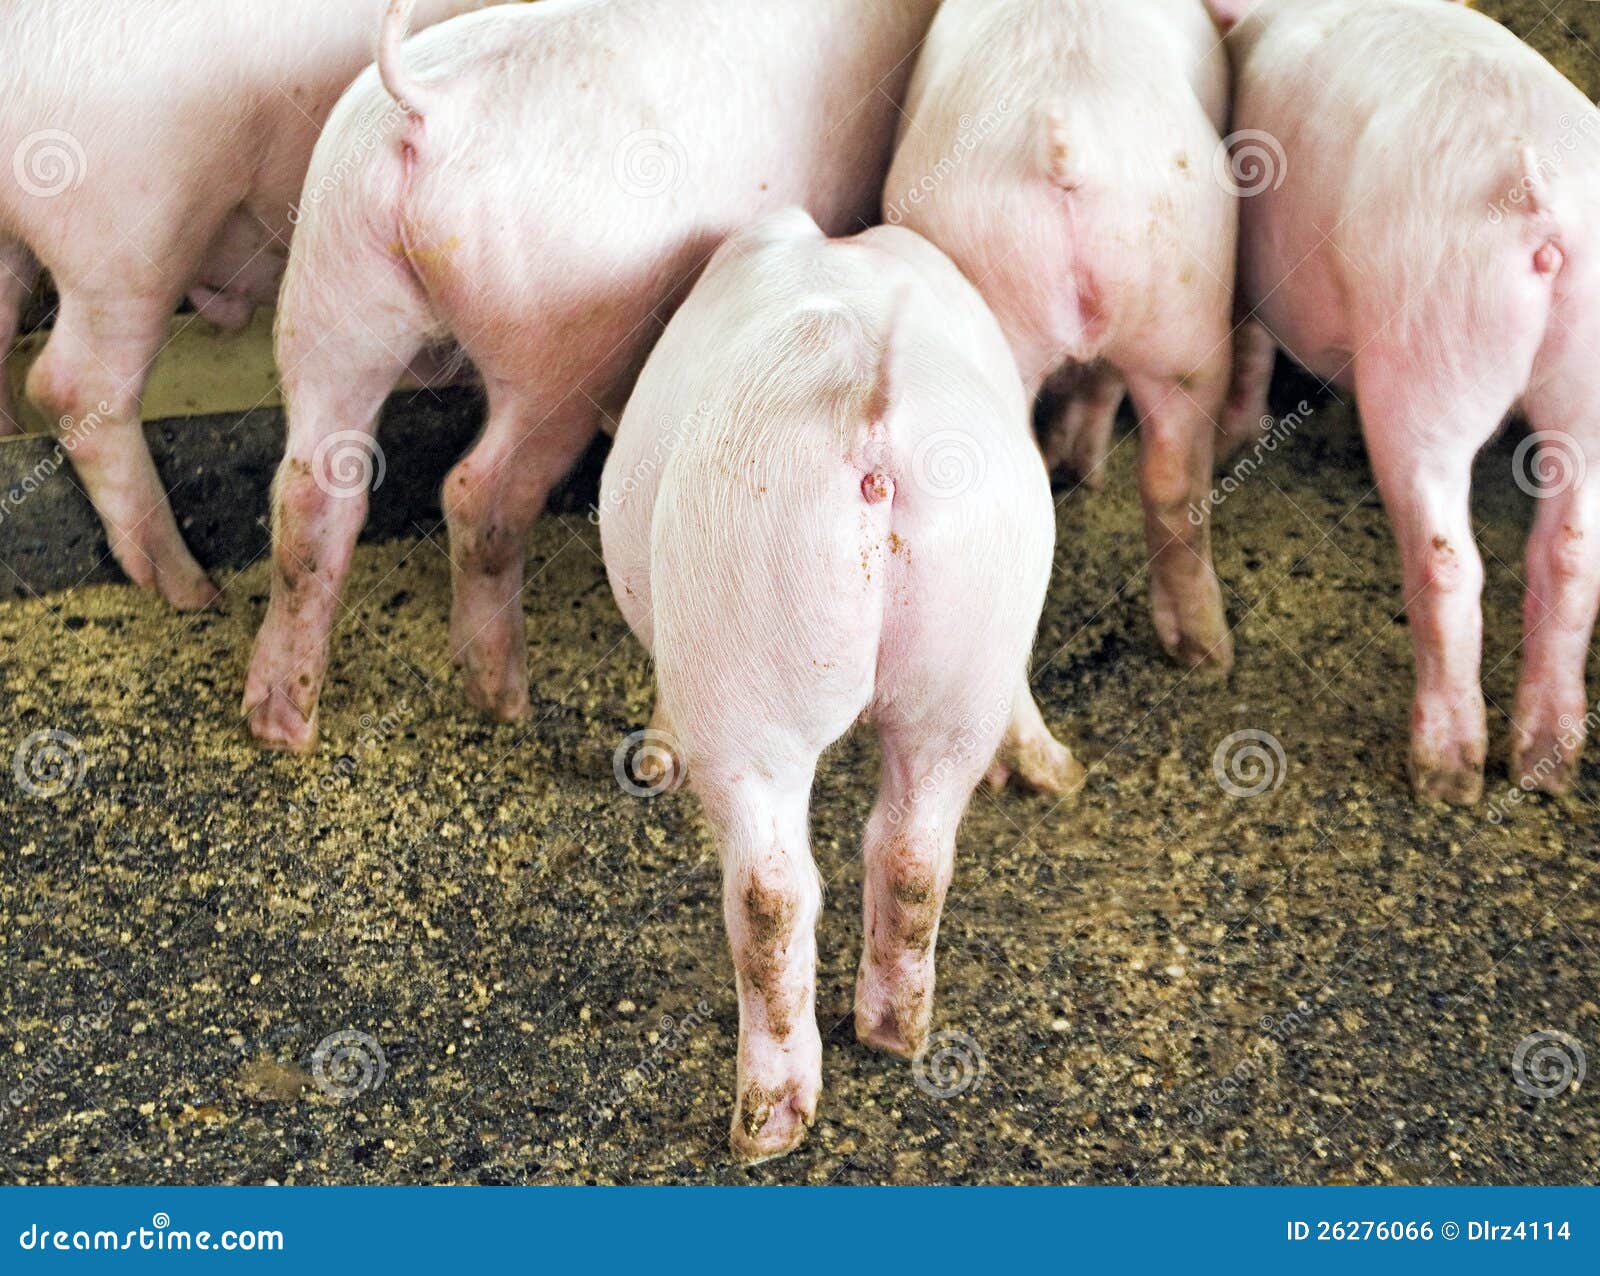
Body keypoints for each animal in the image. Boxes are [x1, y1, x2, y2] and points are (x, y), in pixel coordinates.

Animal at [241, 0, 945, 752]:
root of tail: (432, 110)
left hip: (332, 280)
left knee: (312, 488)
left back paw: (281, 723)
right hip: (556, 346)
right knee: (477, 492)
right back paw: (503, 697)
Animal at [599, 207, 1083, 1161]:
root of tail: (874, 421)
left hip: (737, 611)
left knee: (768, 891)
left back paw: (762, 1128)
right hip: (966, 633)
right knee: (912, 850)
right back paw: (891, 1036)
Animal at [1209, 0, 1600, 804]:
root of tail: (1538, 194)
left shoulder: (1254, 269)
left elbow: (1251, 343)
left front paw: (1235, 440)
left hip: (1425, 349)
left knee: (1447, 562)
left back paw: (1446, 776)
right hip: (1589, 380)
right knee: (1574, 551)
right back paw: (1545, 767)